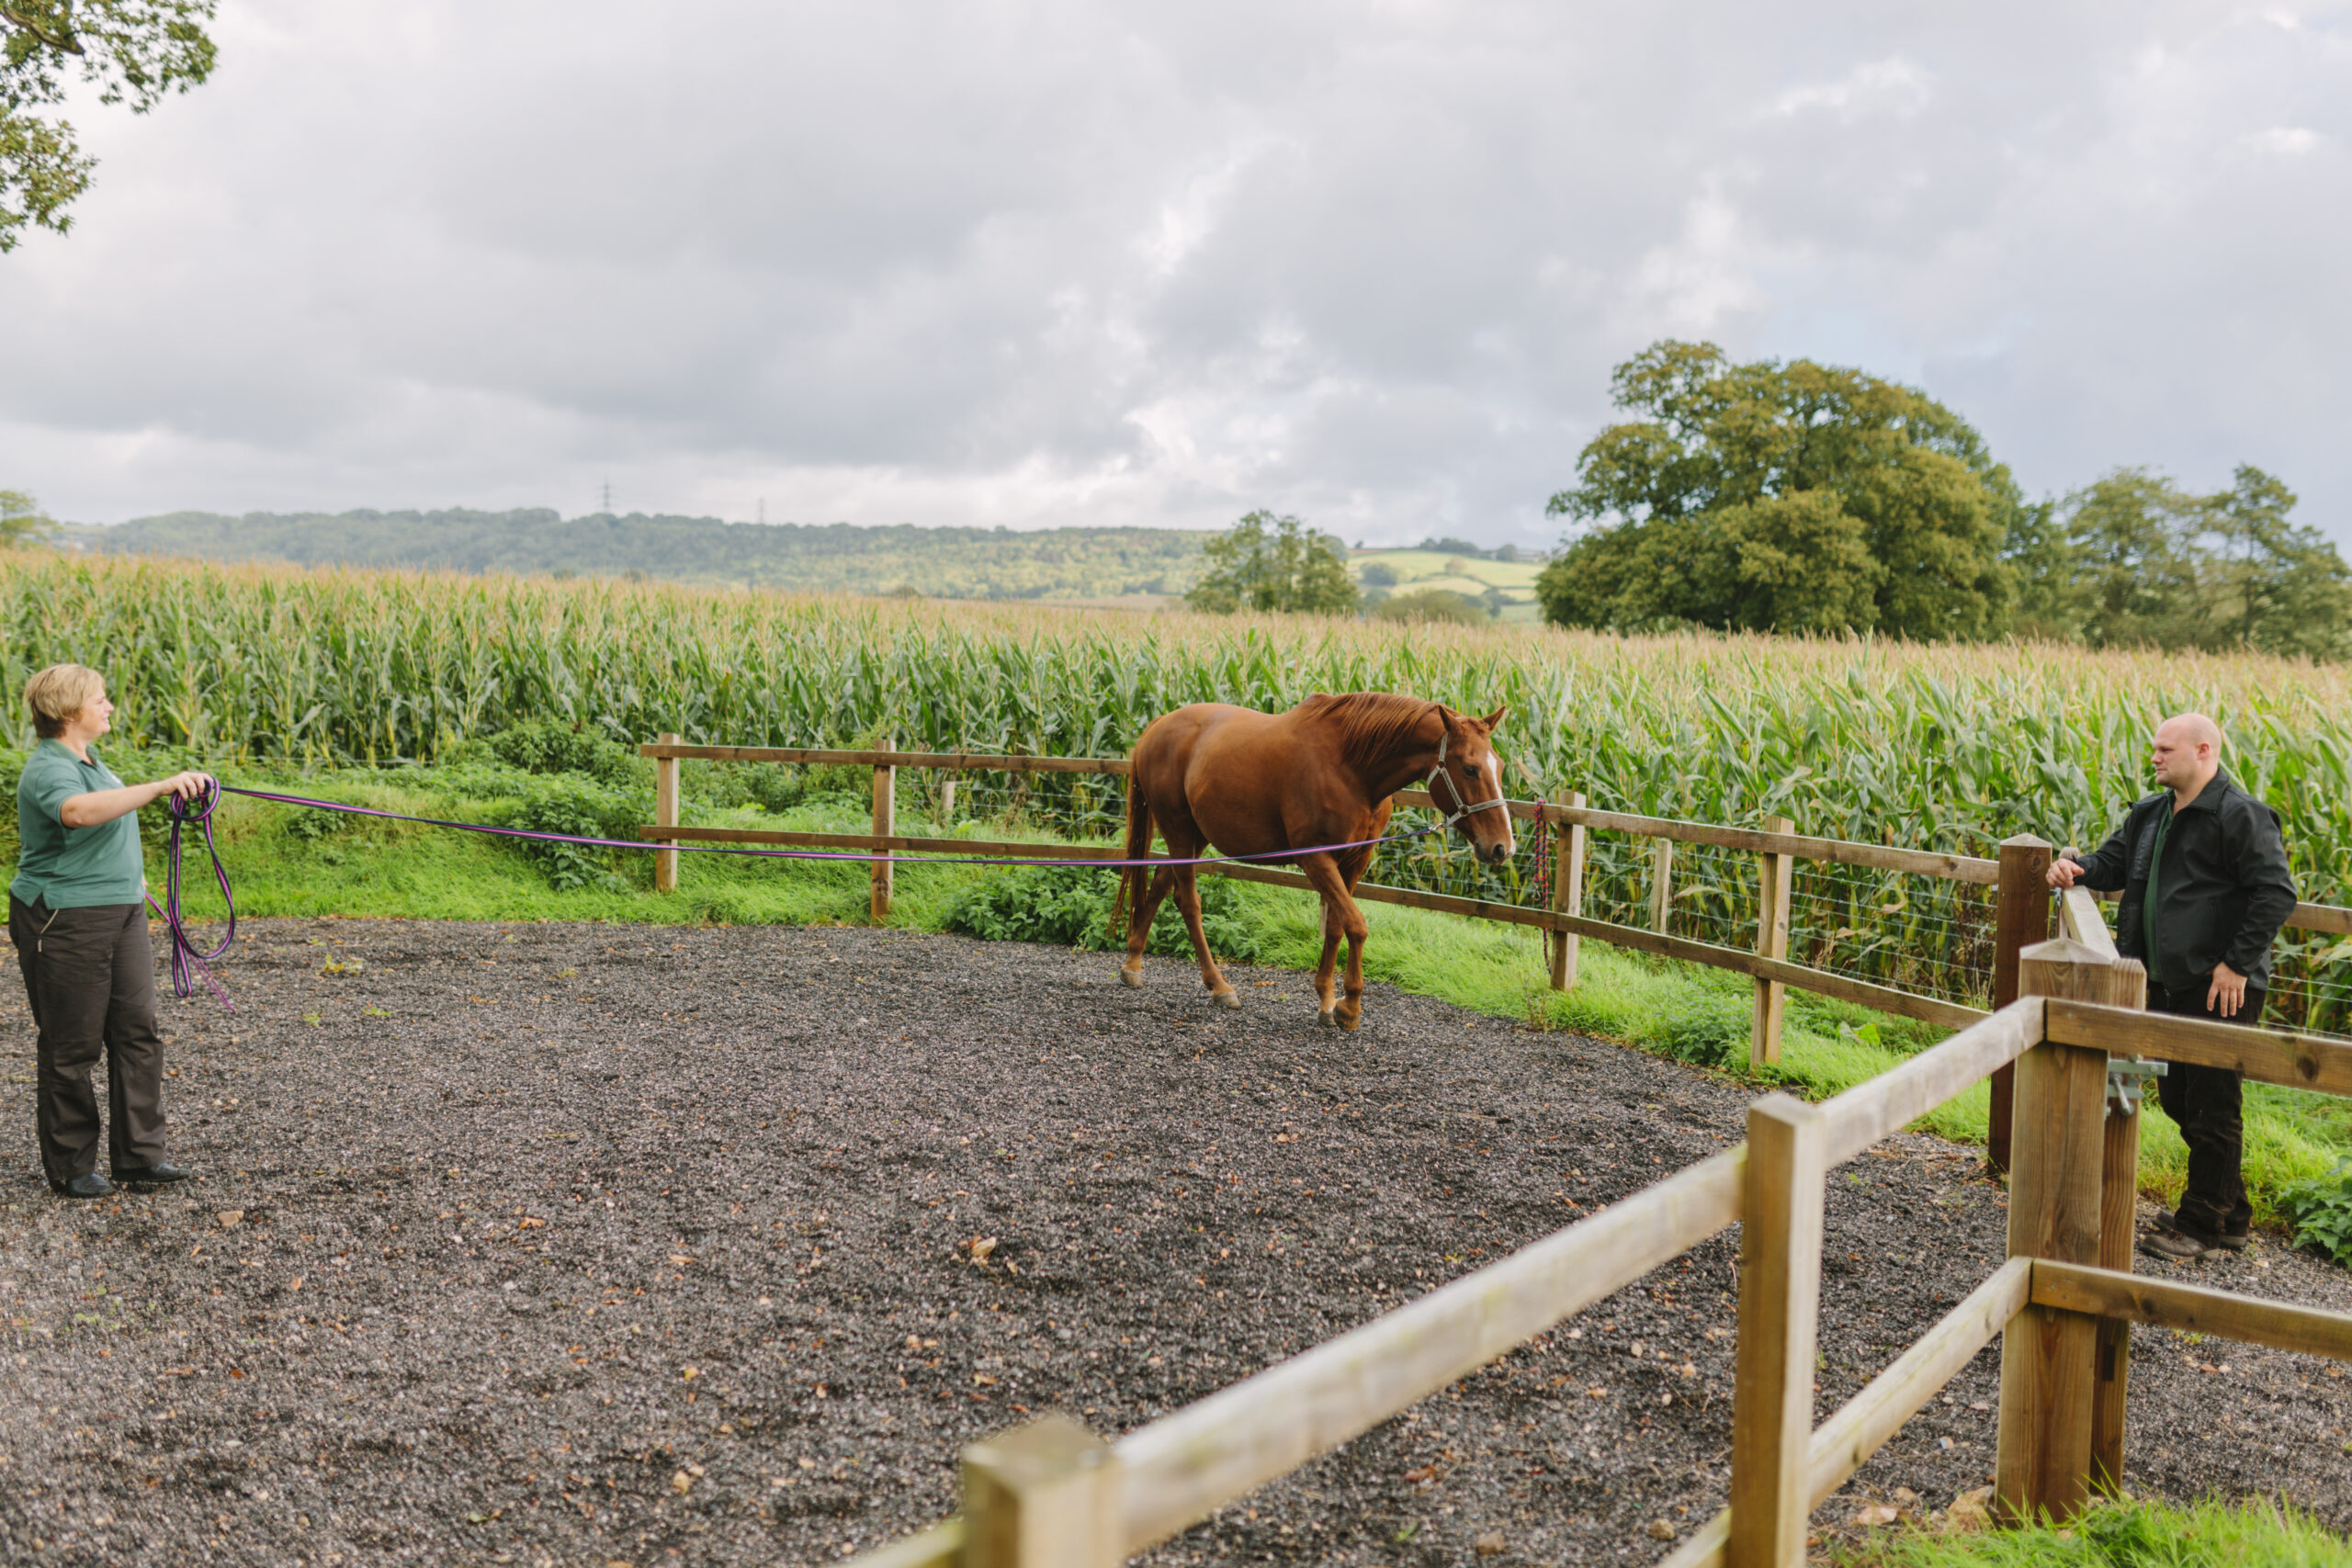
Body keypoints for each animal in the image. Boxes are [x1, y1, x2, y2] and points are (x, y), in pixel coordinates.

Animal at [1111, 693, 1515, 1031]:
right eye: (1470, 768)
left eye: (1500, 766)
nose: (1502, 848)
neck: (1350, 767)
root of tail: (1156, 727)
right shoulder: (1315, 858)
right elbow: (1357, 925)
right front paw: (1349, 1006)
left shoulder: (1355, 859)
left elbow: (1336, 924)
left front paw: (1326, 1000)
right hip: (1178, 829)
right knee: (1190, 904)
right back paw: (1219, 986)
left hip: (1195, 836)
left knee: (1163, 887)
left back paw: (1133, 962)